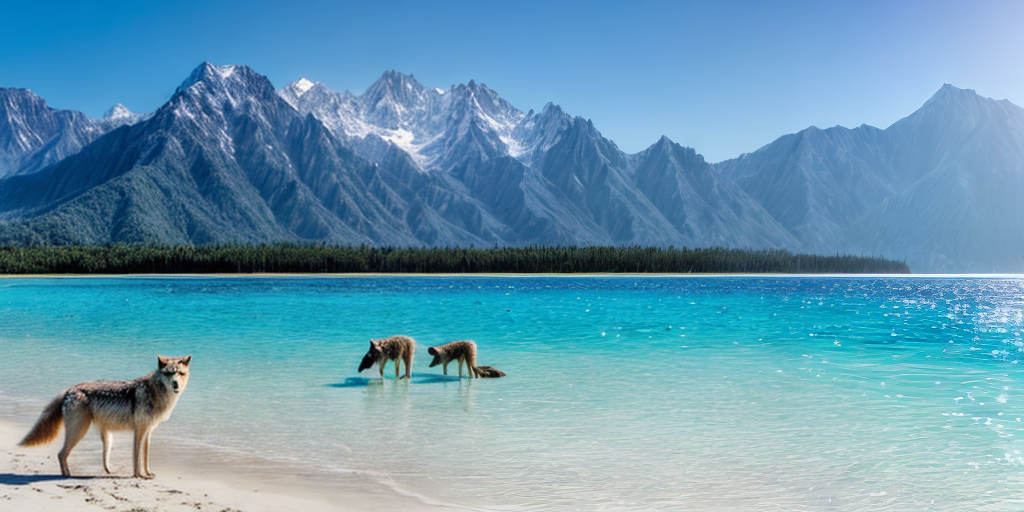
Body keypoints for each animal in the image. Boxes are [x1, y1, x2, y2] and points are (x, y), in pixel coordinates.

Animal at [19, 355, 192, 479]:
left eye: (180, 373)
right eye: (169, 373)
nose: (175, 384)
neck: (154, 392)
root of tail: (69, 389)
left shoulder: (148, 432)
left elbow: (145, 457)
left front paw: (147, 473)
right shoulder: (139, 431)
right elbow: (136, 458)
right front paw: (138, 476)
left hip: (106, 437)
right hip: (79, 432)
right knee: (61, 454)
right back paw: (67, 475)